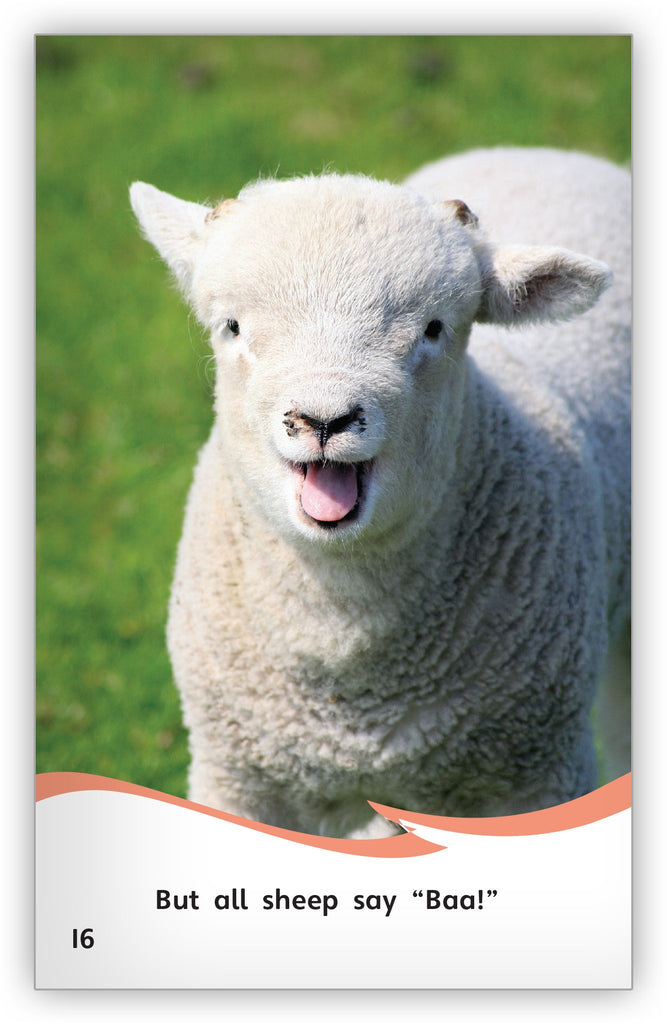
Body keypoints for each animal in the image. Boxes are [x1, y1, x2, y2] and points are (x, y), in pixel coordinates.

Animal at [130, 147, 630, 839]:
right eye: (232, 327)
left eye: (435, 329)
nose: (323, 419)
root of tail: (544, 153)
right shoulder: (240, 774)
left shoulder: (539, 768)